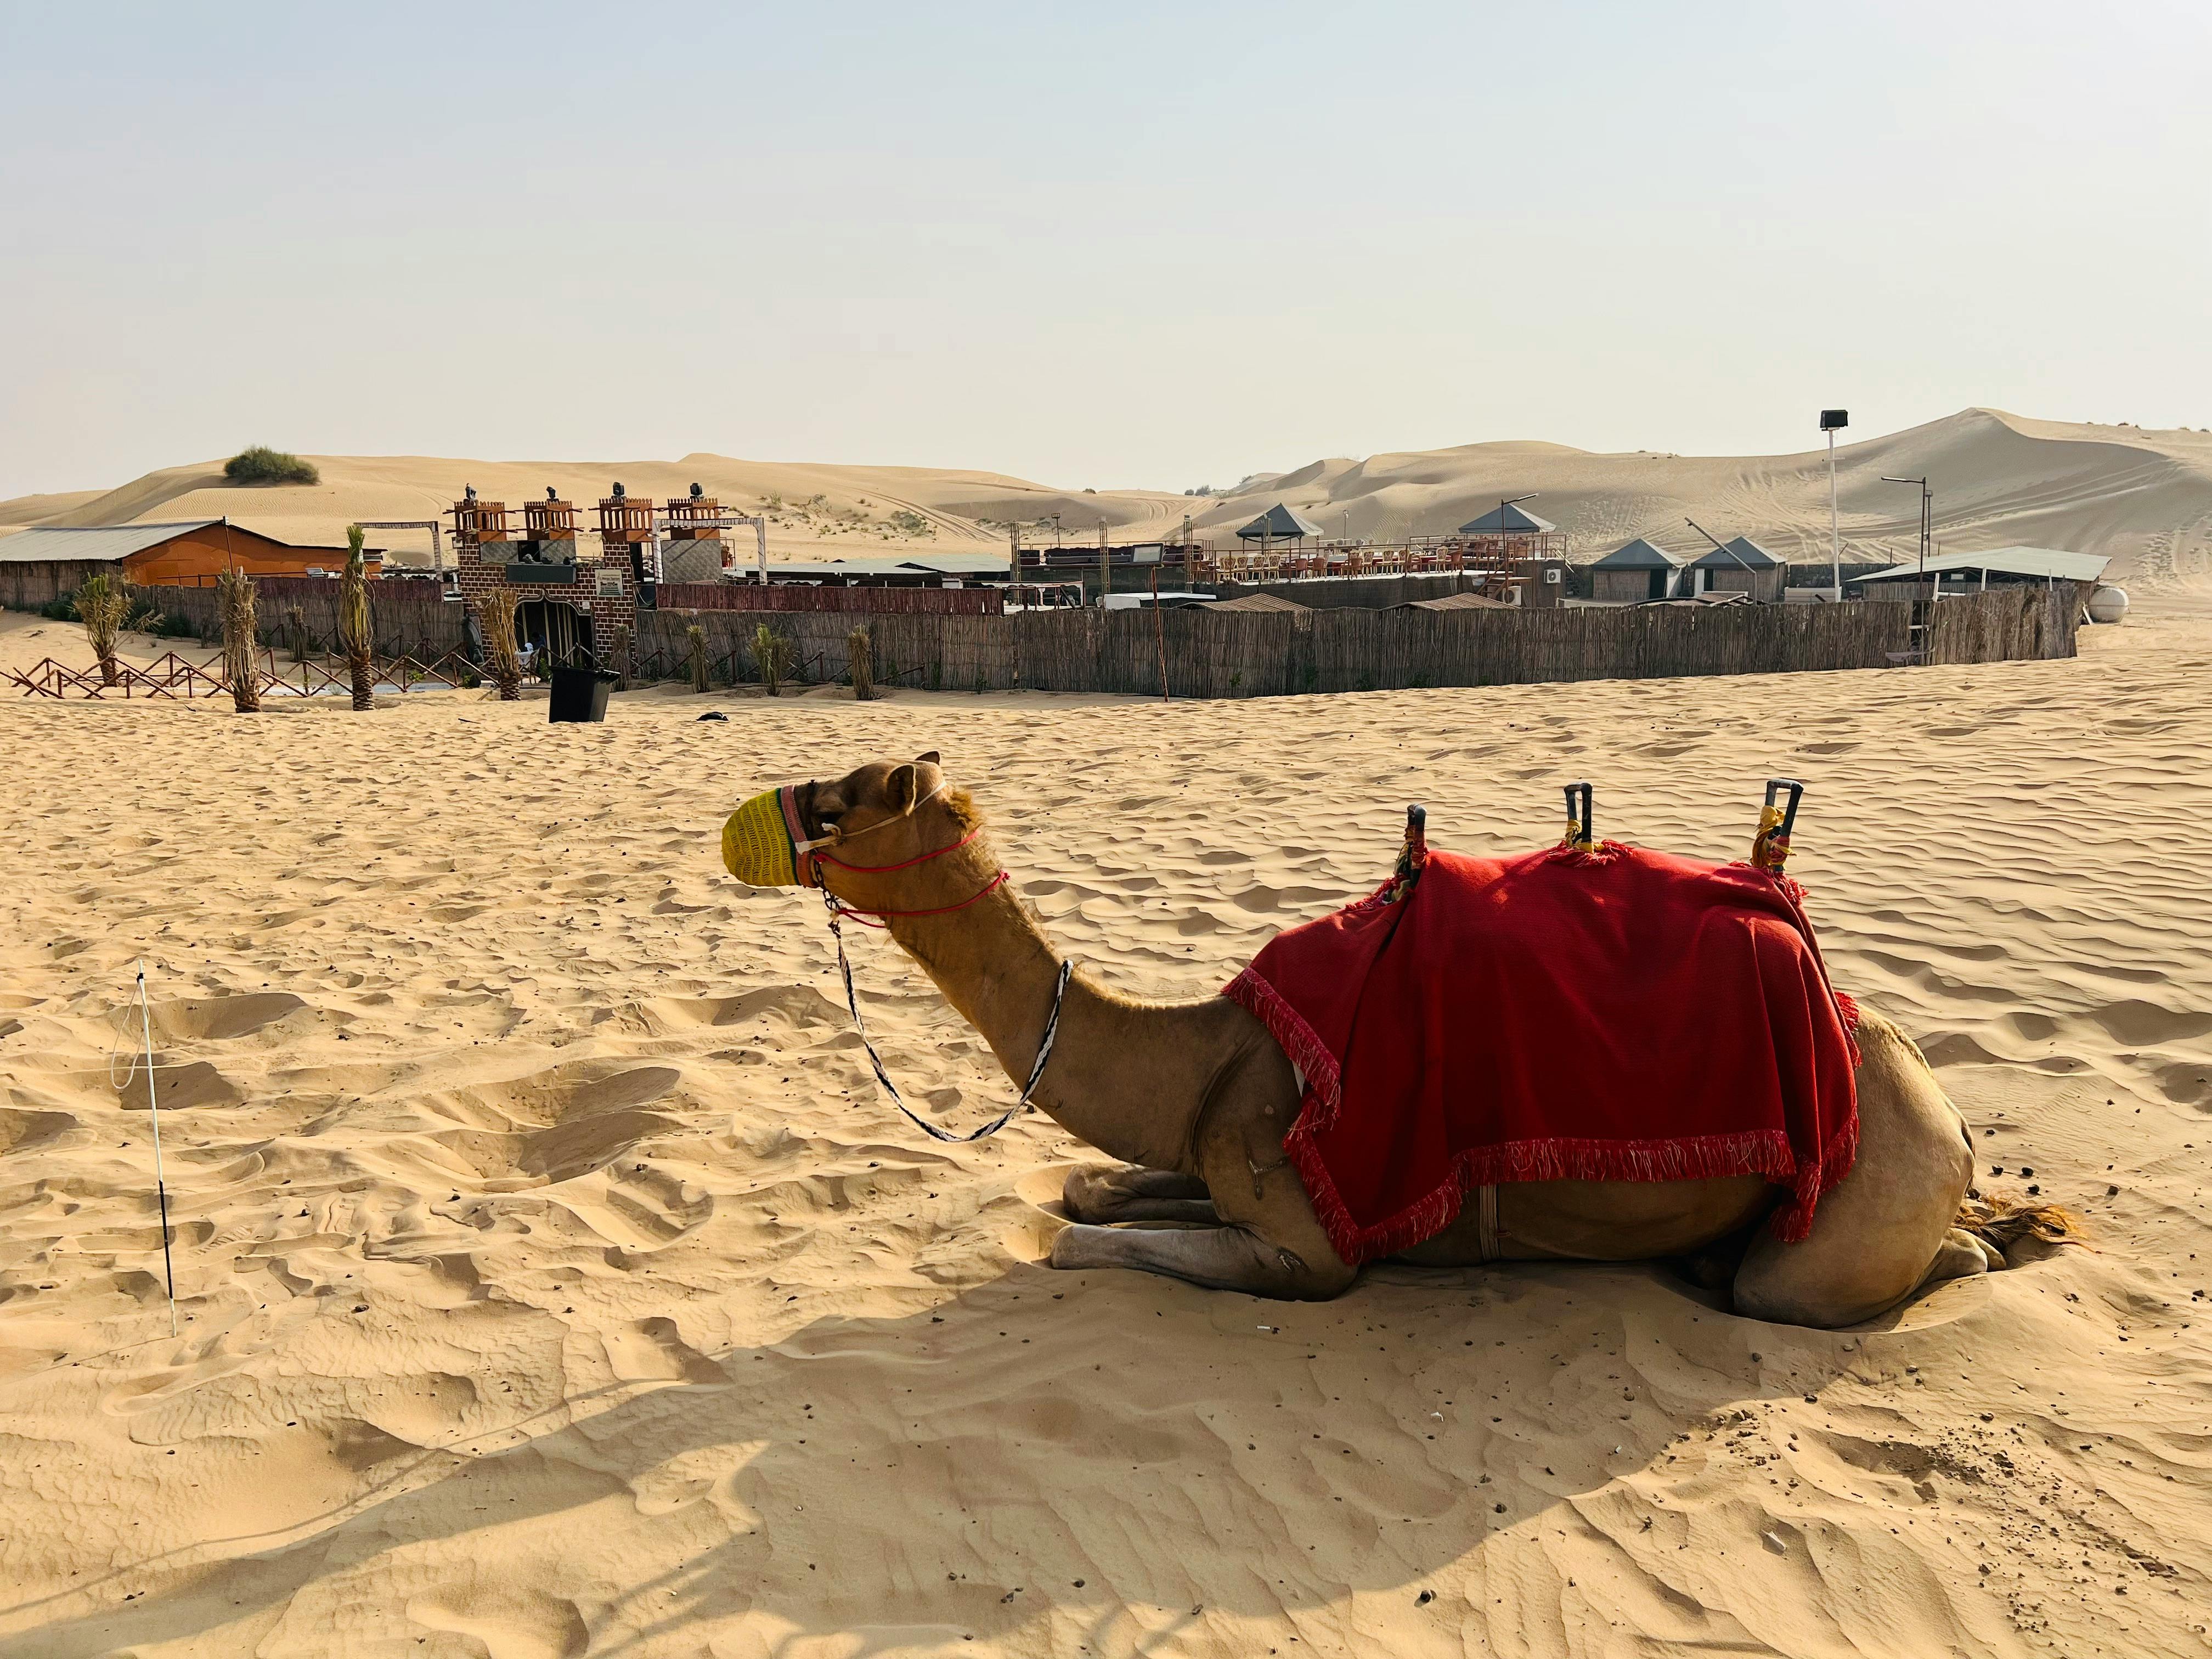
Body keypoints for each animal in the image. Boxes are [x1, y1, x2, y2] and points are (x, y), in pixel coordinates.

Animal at [733, 754, 2076, 1328]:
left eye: (841, 803)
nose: (745, 820)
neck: (1210, 1049)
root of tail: (1942, 1109)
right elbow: (1092, 1185)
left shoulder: (1315, 1249)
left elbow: (1077, 1240)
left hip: (1845, 1206)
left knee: (1819, 1282)